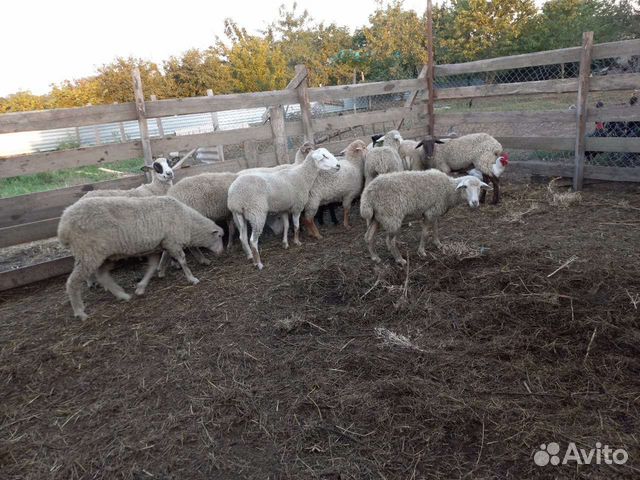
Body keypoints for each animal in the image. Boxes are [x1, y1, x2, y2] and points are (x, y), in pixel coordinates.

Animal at [58, 196, 224, 320]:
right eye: (220, 237)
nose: (222, 252)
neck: (188, 222)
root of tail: (63, 224)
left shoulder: (158, 246)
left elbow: (152, 267)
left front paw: (141, 287)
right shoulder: (172, 241)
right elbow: (183, 261)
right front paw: (192, 278)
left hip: (103, 255)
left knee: (102, 275)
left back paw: (122, 295)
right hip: (89, 253)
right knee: (72, 282)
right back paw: (80, 311)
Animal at [360, 170, 491, 266]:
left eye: (480, 188)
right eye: (465, 187)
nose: (475, 203)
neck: (448, 189)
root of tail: (368, 195)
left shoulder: (435, 210)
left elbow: (436, 228)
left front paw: (438, 244)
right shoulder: (429, 212)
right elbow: (425, 233)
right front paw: (422, 251)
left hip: (377, 216)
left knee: (368, 236)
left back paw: (375, 257)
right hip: (392, 216)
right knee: (390, 241)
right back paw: (400, 260)